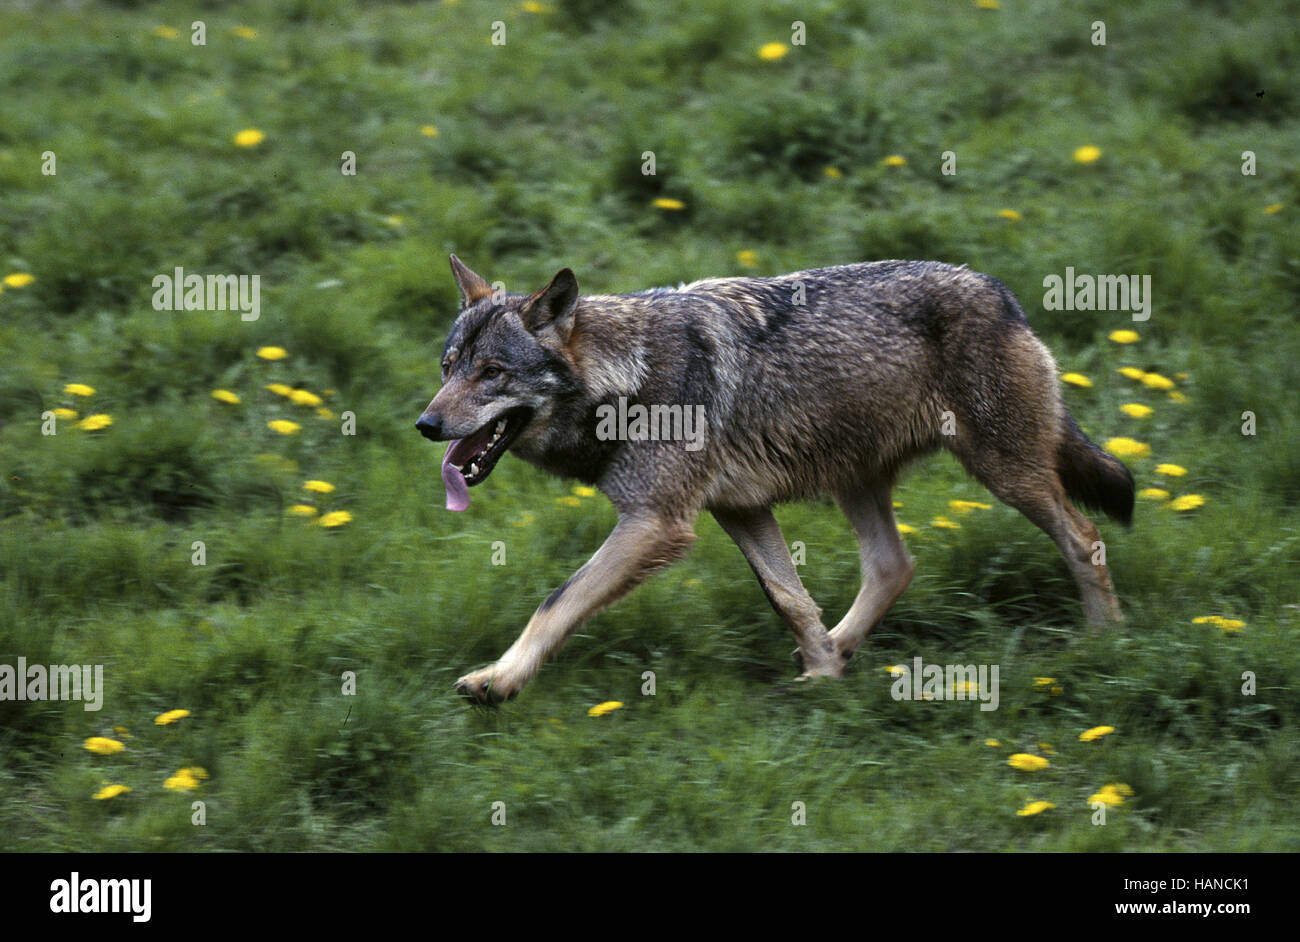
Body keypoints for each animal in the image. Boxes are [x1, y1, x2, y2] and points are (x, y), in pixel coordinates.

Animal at [418, 255, 1134, 704]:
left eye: (492, 374)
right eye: (450, 367)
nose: (426, 424)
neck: (628, 379)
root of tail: (1000, 292)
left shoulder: (655, 522)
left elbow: (554, 602)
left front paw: (497, 682)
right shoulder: (738, 509)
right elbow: (788, 598)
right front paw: (822, 678)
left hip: (1004, 474)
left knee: (1085, 536)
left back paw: (1105, 643)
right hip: (857, 481)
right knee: (894, 566)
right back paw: (841, 649)